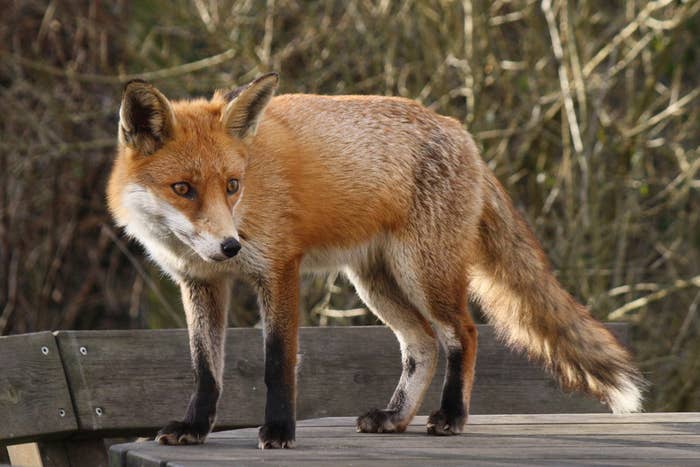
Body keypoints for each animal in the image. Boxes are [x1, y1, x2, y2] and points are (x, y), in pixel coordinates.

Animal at [107, 72, 645, 449]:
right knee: (422, 346)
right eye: (183, 189)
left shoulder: (278, 269)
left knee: (463, 335)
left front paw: (279, 430)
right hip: (375, 282)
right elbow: (205, 368)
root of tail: (462, 133)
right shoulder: (200, 281)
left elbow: (277, 362)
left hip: (422, 273)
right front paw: (195, 427)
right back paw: (397, 418)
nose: (230, 247)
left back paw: (451, 417)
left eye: (232, 185)